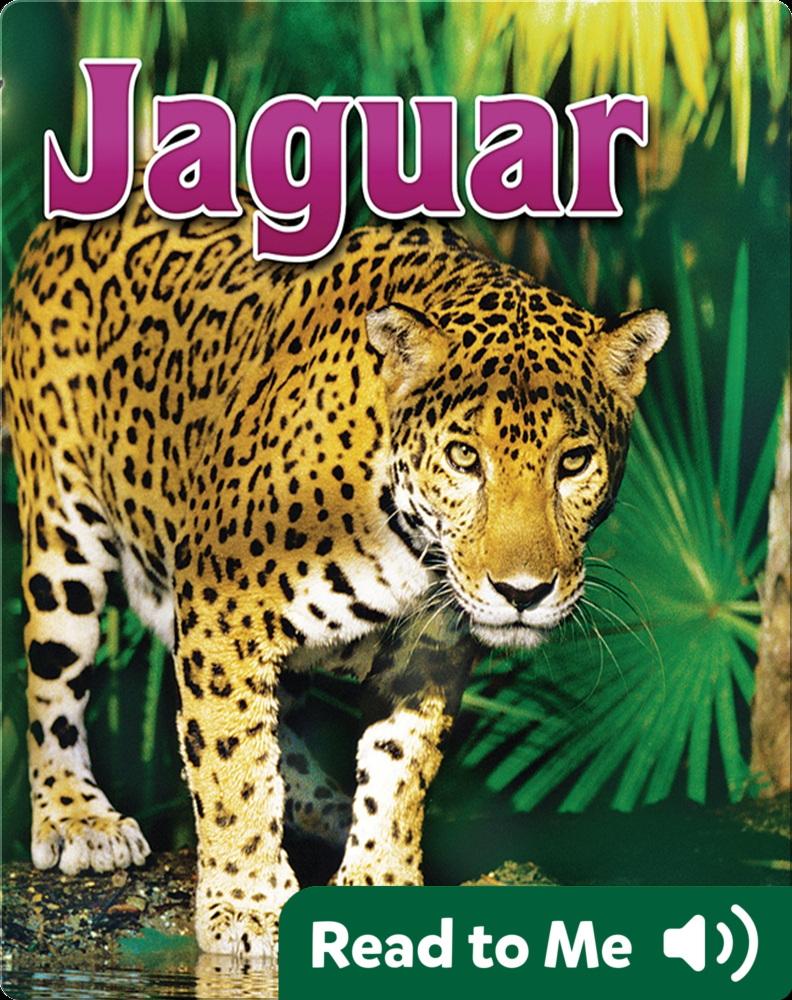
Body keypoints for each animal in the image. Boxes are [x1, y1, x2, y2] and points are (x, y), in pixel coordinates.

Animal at [2, 175, 667, 959]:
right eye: (465, 458)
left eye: (574, 462)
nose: (523, 593)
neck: (404, 541)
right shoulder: (222, 608)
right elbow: (230, 763)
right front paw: (248, 903)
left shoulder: (429, 648)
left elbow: (400, 766)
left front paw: (377, 874)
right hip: (62, 526)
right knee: (56, 685)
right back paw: (79, 818)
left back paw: (327, 808)